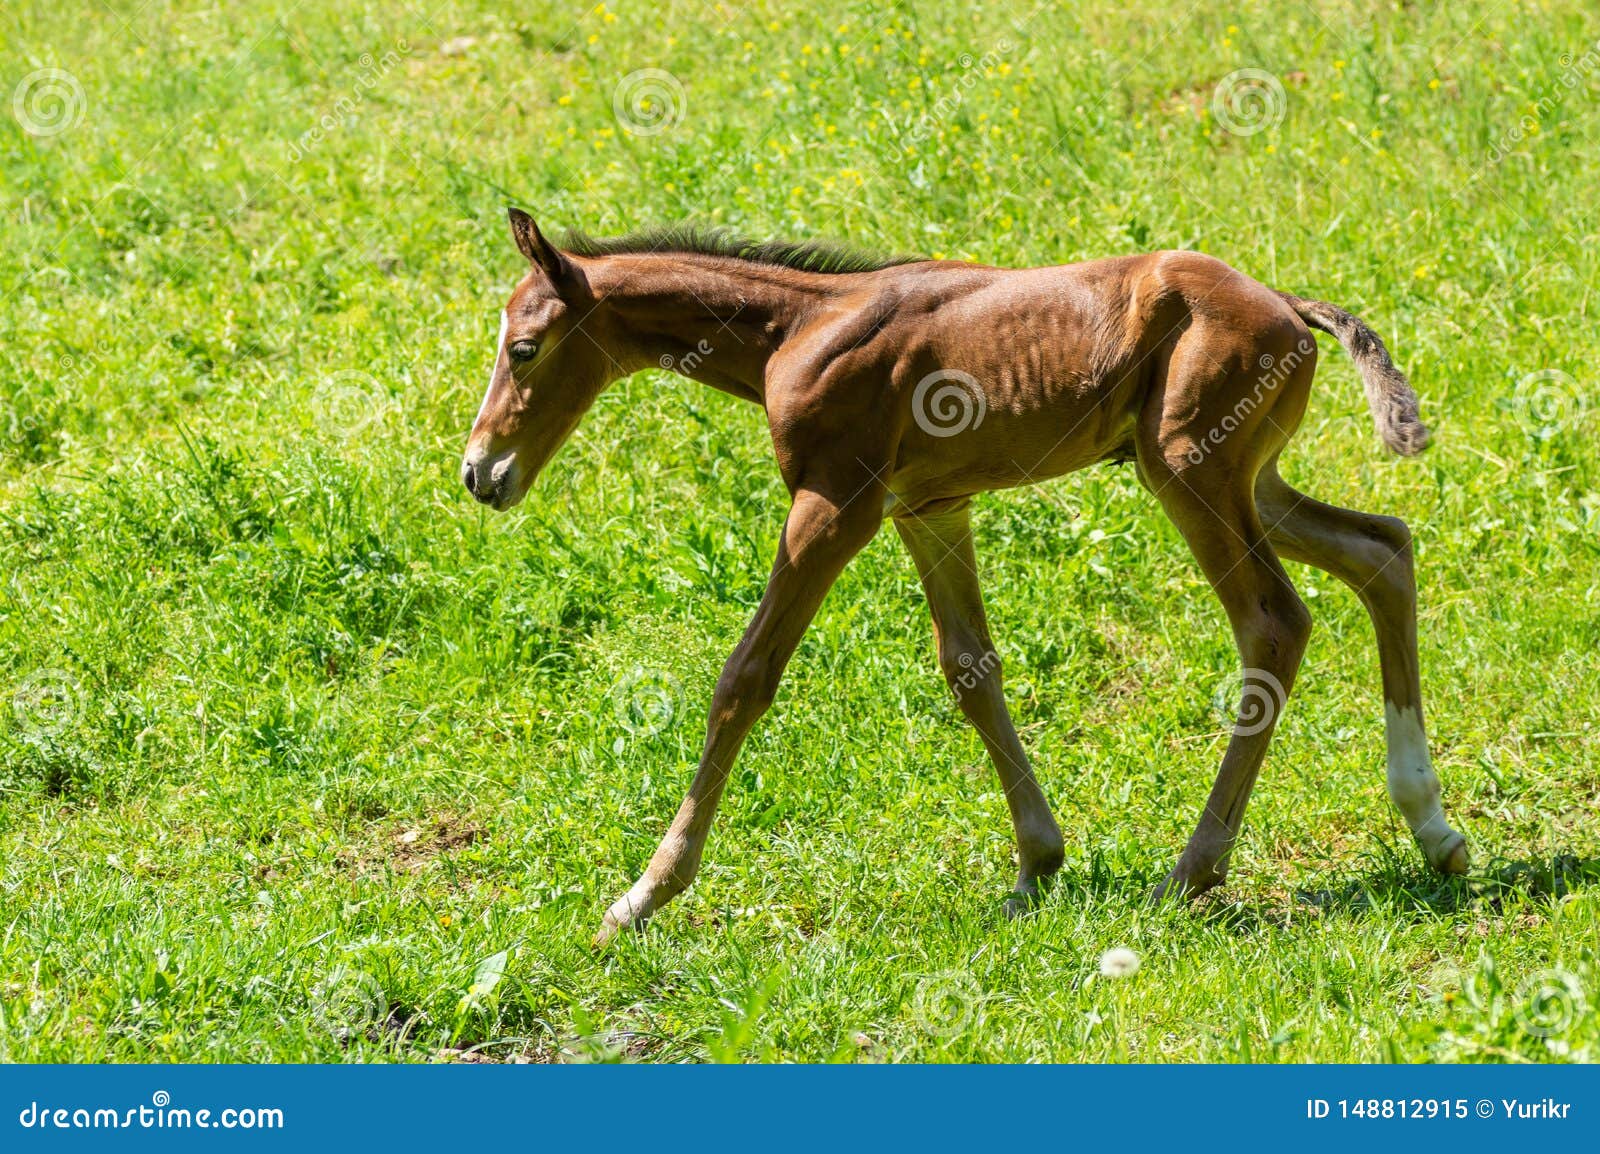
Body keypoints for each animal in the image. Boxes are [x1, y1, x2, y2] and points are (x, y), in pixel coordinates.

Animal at [462, 208, 1469, 944]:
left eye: (523, 348)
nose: (479, 473)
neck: (798, 327)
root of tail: (1288, 305)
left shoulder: (835, 506)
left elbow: (746, 677)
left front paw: (642, 896)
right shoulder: (929, 509)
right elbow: (971, 670)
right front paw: (1036, 866)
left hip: (1193, 467)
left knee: (1274, 620)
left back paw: (1193, 871)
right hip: (1248, 479)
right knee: (1383, 550)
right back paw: (1433, 830)